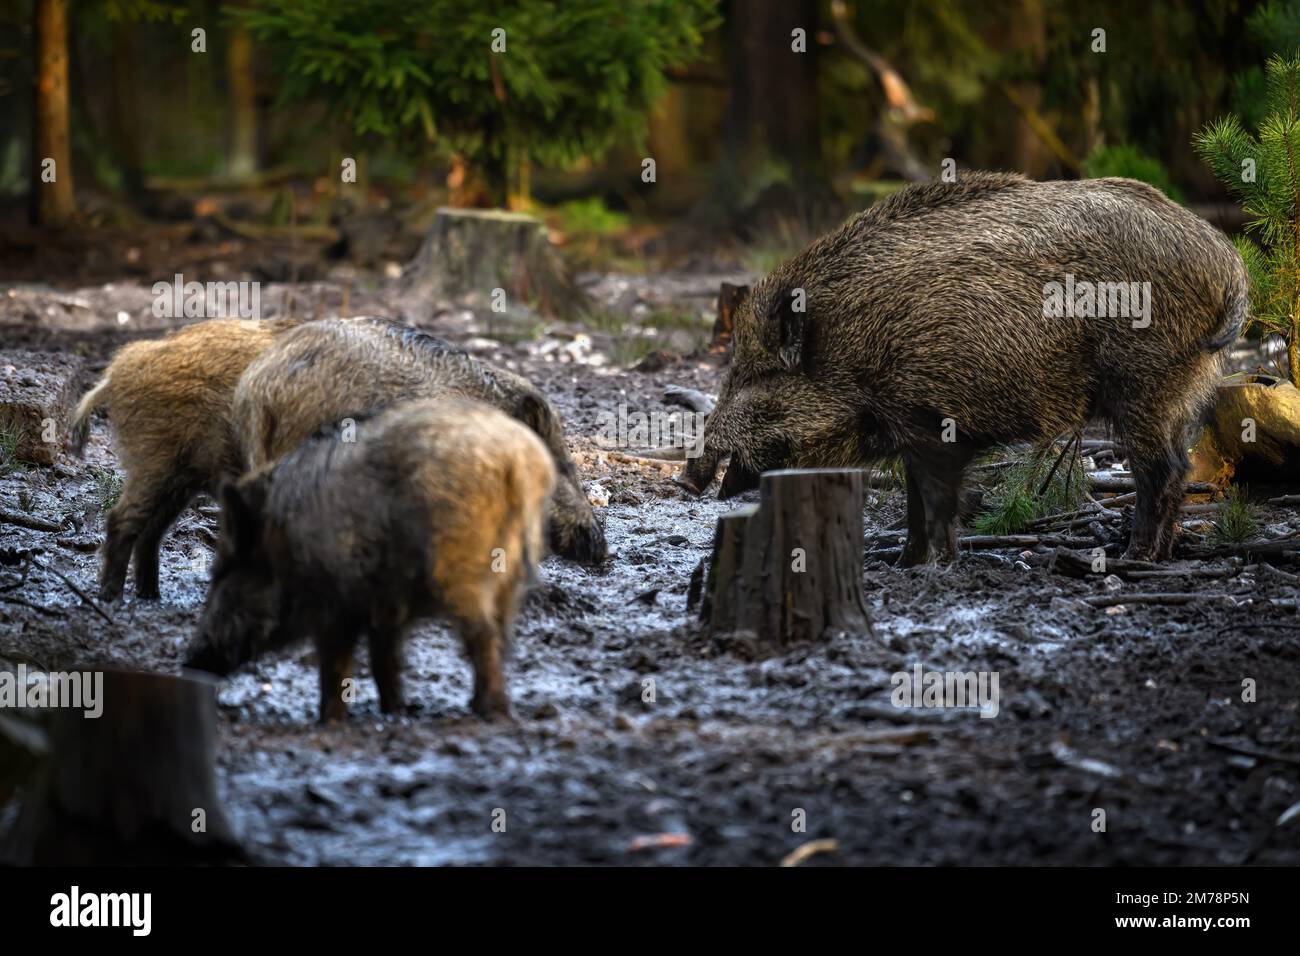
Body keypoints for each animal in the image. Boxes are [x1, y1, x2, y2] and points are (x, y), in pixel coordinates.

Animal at [70, 318, 299, 600]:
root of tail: (120, 367)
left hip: (180, 478)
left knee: (150, 531)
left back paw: (150, 595)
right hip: (154, 459)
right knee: (121, 520)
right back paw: (113, 597)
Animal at [183, 398, 554, 722]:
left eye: (222, 572)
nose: (190, 660)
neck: (286, 543)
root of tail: (516, 461)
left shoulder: (335, 605)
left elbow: (336, 665)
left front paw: (329, 721)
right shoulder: (385, 605)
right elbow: (384, 658)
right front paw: (396, 711)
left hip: (462, 570)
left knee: (482, 635)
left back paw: (489, 712)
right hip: (510, 576)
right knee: (499, 635)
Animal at [680, 173, 1249, 564]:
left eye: (758, 376)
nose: (686, 478)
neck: (848, 352)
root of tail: (1226, 259)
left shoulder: (928, 421)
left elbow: (935, 499)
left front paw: (928, 565)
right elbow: (916, 501)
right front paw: (910, 562)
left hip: (1145, 383)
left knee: (1162, 470)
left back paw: (1136, 556)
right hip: (1178, 388)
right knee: (1178, 468)